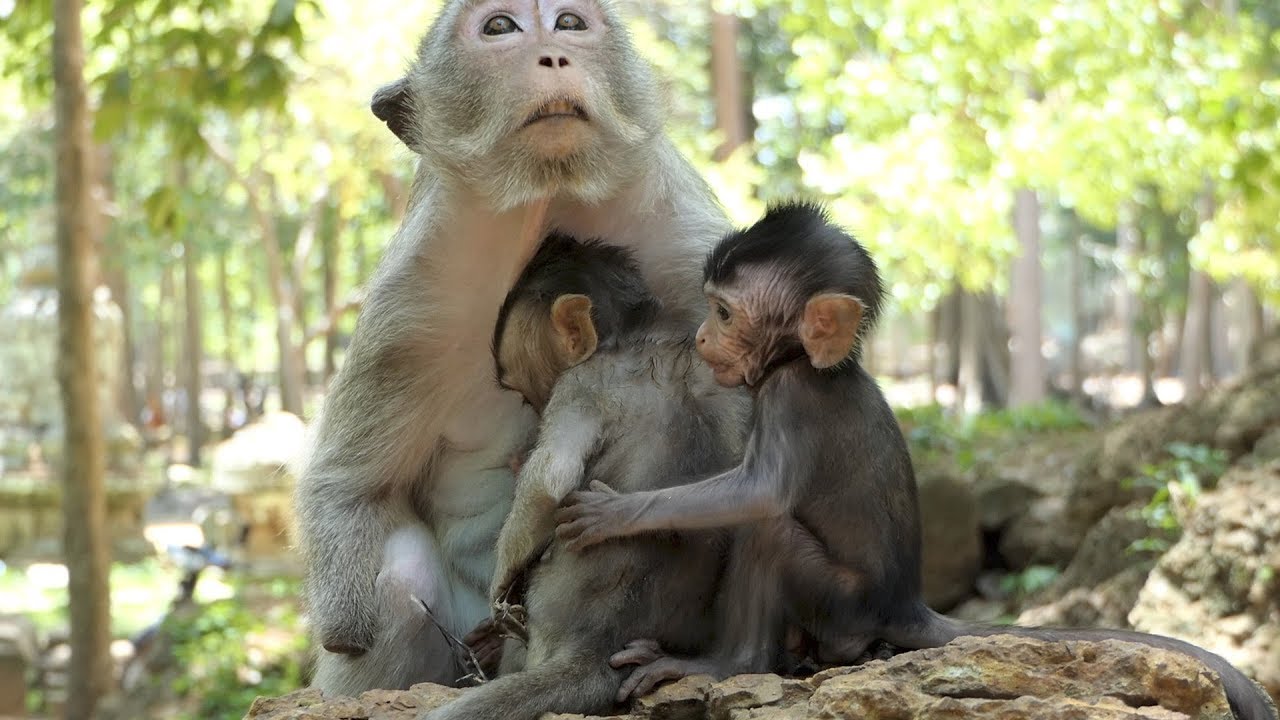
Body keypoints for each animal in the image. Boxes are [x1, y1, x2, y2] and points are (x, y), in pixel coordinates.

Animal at [416, 233, 746, 720]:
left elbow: (550, 478)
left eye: (525, 390)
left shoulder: (582, 382)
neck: (645, 336)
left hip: (542, 631)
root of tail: (598, 648)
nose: (534, 411)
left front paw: (500, 590)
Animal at [555, 202, 1277, 720]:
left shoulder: (791, 398)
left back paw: (732, 662)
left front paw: (619, 514)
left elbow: (760, 495)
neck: (809, 364)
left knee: (770, 533)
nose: (704, 337)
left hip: (844, 605)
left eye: (725, 313)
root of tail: (905, 607)